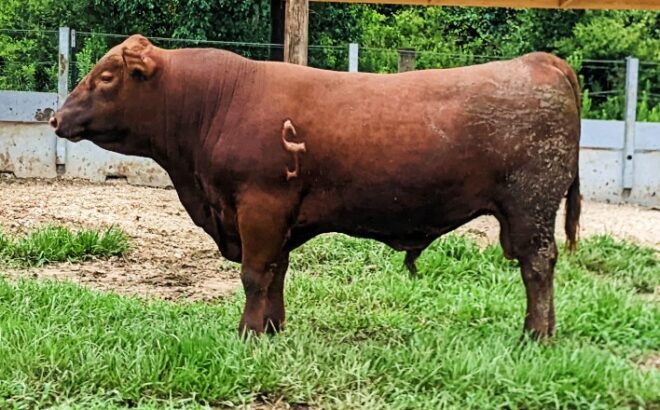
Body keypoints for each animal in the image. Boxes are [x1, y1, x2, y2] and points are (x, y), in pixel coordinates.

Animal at [50, 35, 581, 339]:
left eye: (107, 76)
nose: (54, 118)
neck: (216, 102)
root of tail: (539, 62)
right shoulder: (278, 217)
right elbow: (276, 274)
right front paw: (273, 329)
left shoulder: (259, 207)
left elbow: (254, 274)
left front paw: (248, 333)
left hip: (532, 206)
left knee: (537, 267)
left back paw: (535, 335)